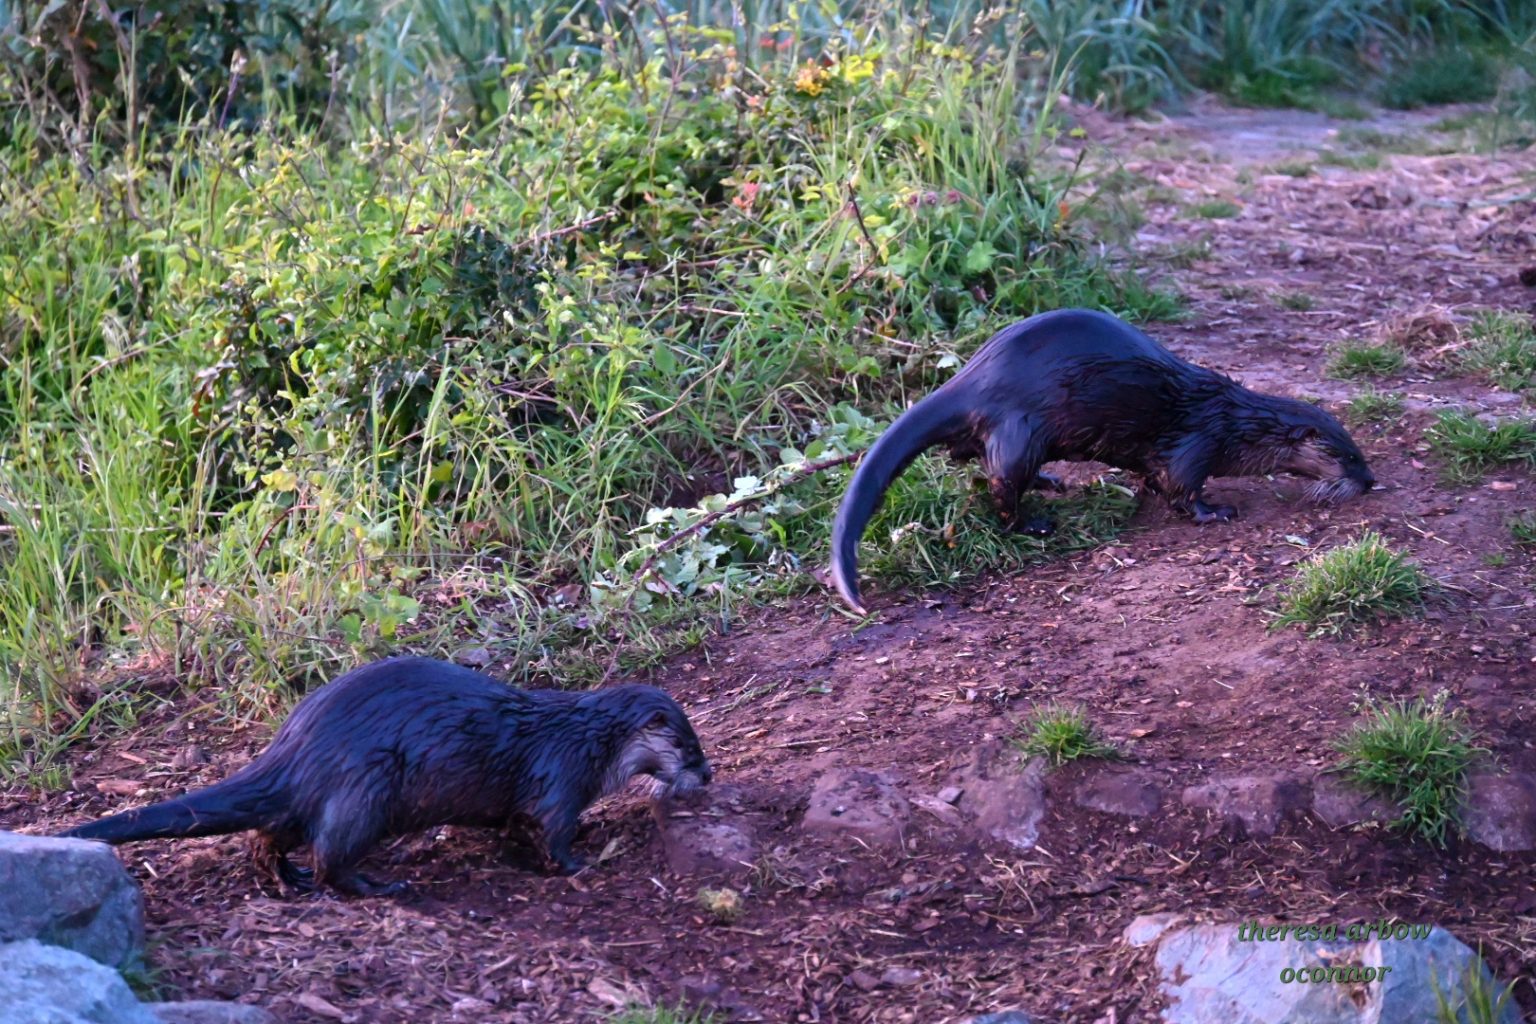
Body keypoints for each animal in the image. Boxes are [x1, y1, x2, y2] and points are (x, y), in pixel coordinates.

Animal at [60, 657, 712, 896]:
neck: (589, 741)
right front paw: (583, 862)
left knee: (269, 836)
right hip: (368, 789)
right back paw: (379, 886)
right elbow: (550, 831)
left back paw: (286, 878)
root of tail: (292, 748)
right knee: (333, 855)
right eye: (686, 745)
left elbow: (514, 828)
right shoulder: (561, 779)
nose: (706, 775)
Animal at [831, 308, 1375, 614]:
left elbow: (1155, 476)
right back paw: (1035, 522)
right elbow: (1183, 487)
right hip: (1021, 430)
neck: (1234, 424)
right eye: (1345, 455)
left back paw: (1051, 481)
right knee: (1000, 487)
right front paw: (1215, 512)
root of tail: (970, 379)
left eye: (1359, 451)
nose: (1369, 481)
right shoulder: (1197, 443)